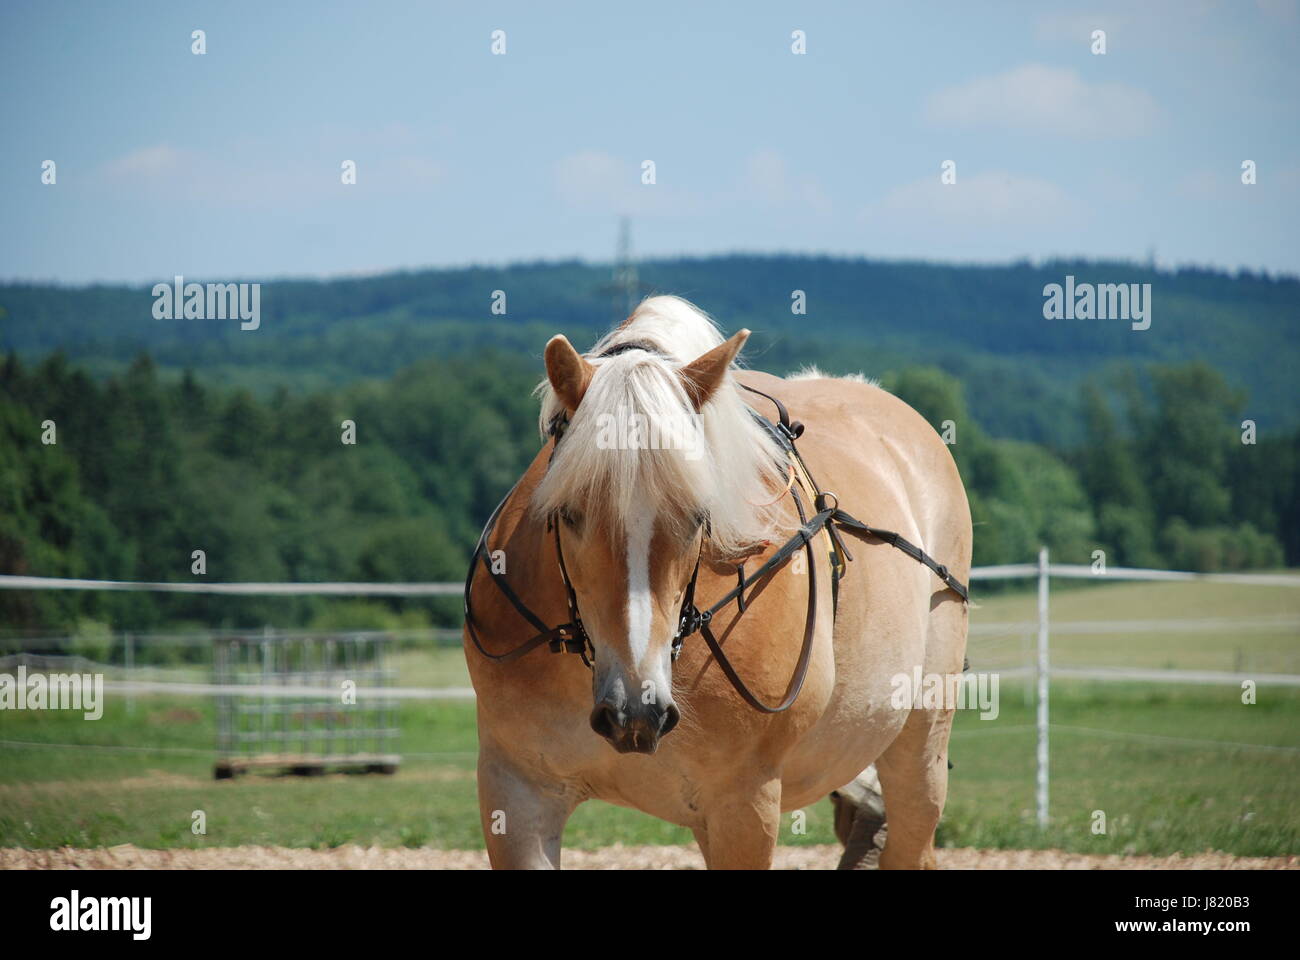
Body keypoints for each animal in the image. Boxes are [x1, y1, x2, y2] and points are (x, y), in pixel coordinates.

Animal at [462, 296, 971, 869]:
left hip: (919, 751)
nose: (635, 711)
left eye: (696, 518)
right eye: (568, 514)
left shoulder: (743, 803)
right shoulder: (517, 790)